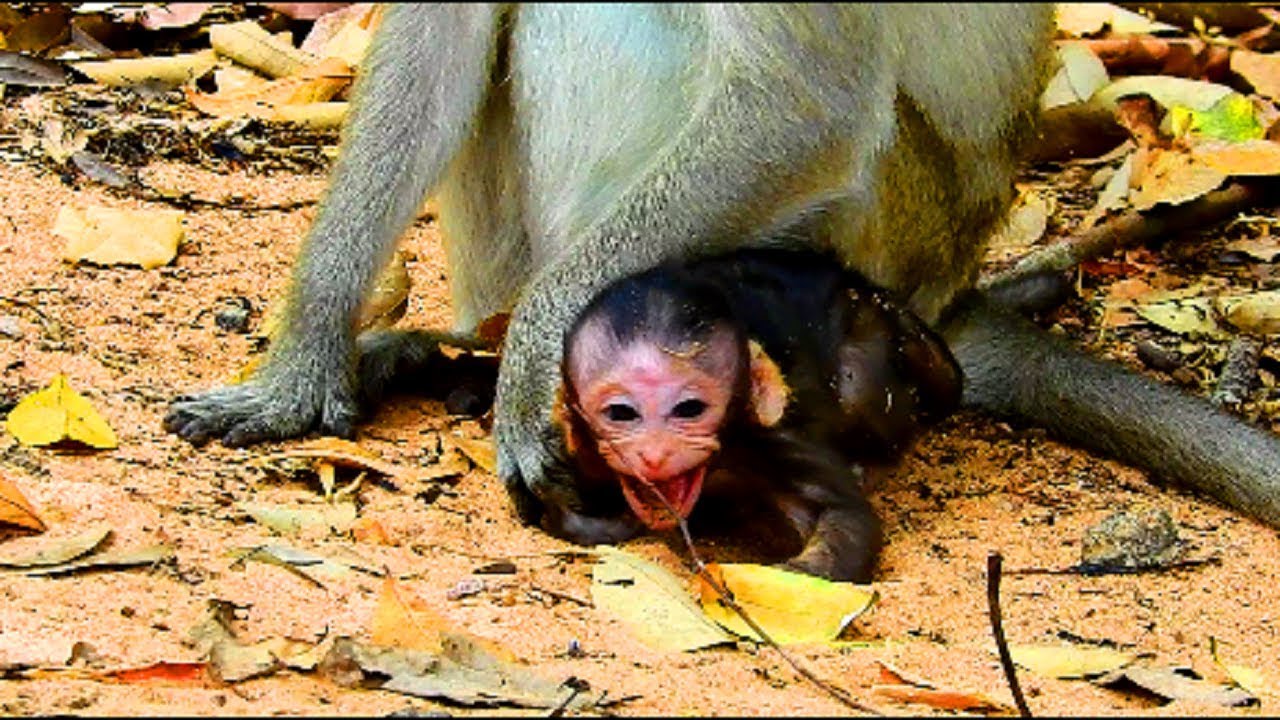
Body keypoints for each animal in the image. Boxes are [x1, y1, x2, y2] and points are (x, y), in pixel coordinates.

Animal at [549, 247, 961, 581]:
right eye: (621, 413)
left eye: (689, 409)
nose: (654, 454)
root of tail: (867, 291)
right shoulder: (588, 457)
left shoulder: (775, 440)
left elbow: (847, 515)